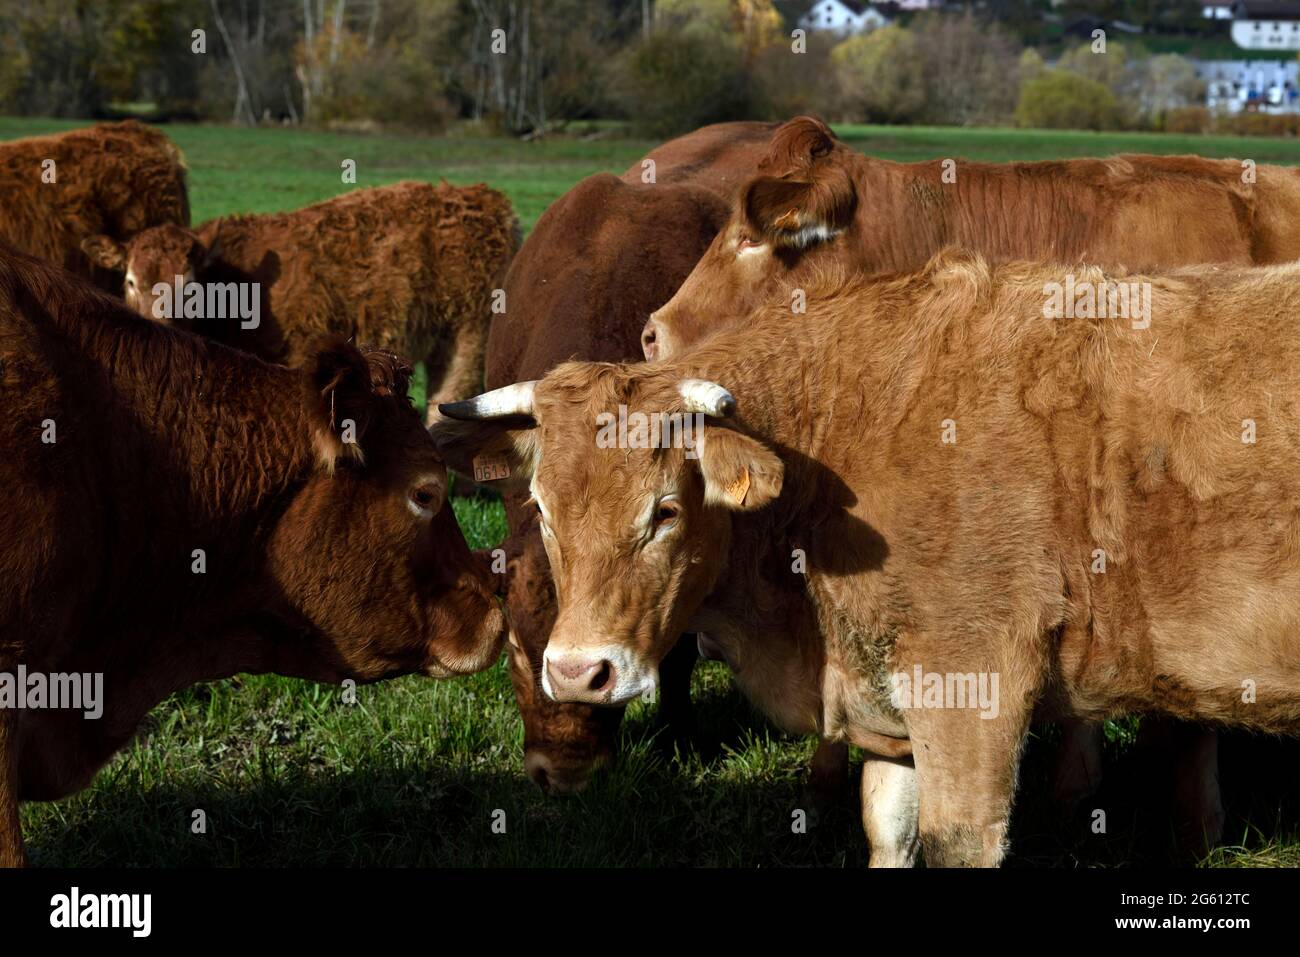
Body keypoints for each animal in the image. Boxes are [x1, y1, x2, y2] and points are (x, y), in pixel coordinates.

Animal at [437, 249, 1300, 866]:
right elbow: (889, 829)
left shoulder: (971, 692)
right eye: (542, 508)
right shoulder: (894, 713)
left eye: (665, 511)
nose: (579, 672)